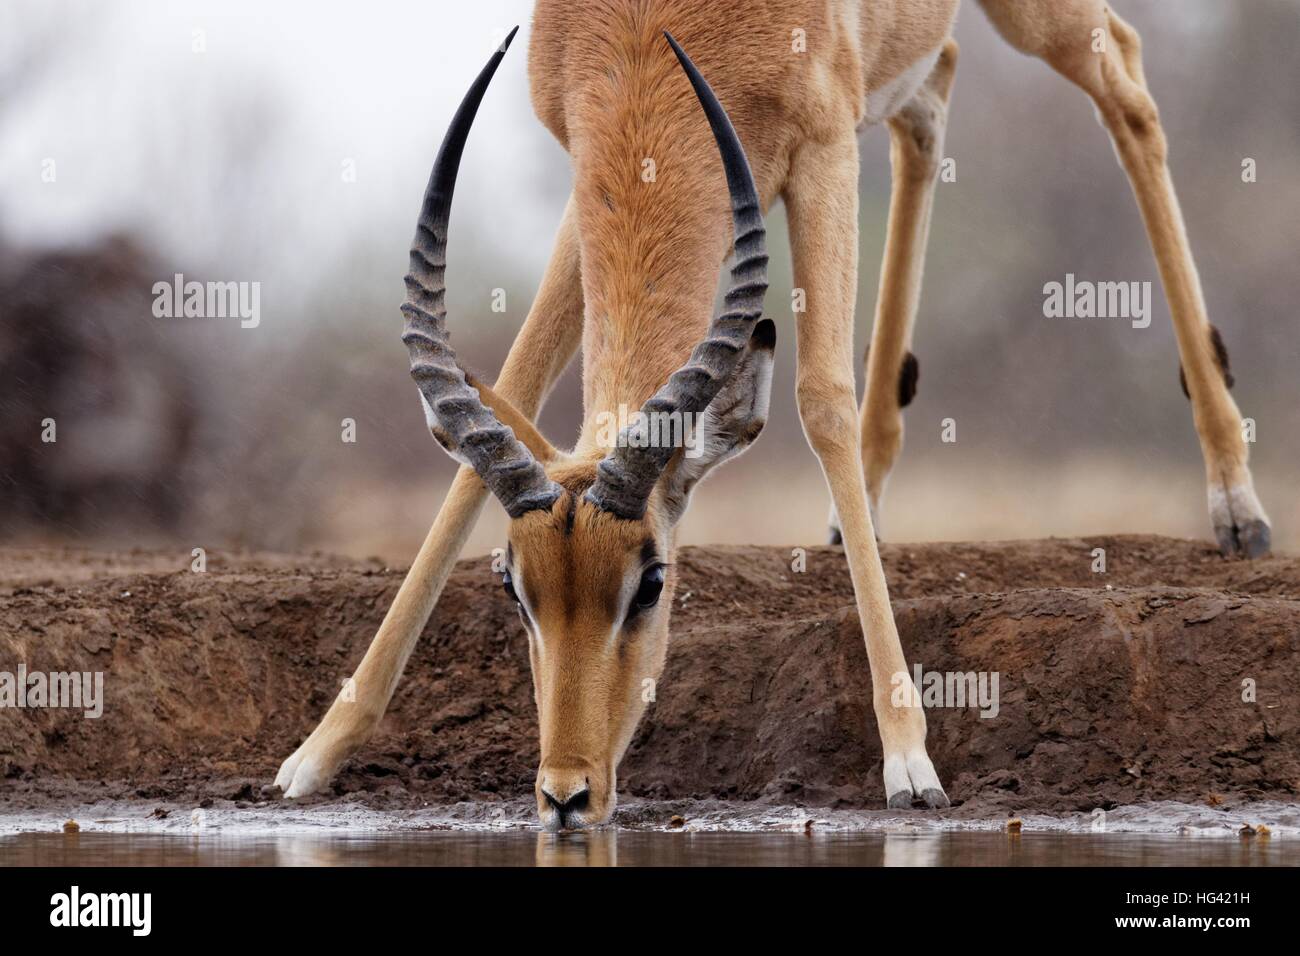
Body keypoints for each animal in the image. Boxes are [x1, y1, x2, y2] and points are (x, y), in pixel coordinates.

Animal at [275, 0, 1272, 828]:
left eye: (653, 581)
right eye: (515, 589)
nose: (566, 795)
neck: (652, 29)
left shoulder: (824, 147)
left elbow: (821, 396)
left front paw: (911, 764)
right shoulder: (589, 178)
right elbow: (511, 387)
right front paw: (316, 752)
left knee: (1124, 78)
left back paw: (1238, 505)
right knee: (933, 93)